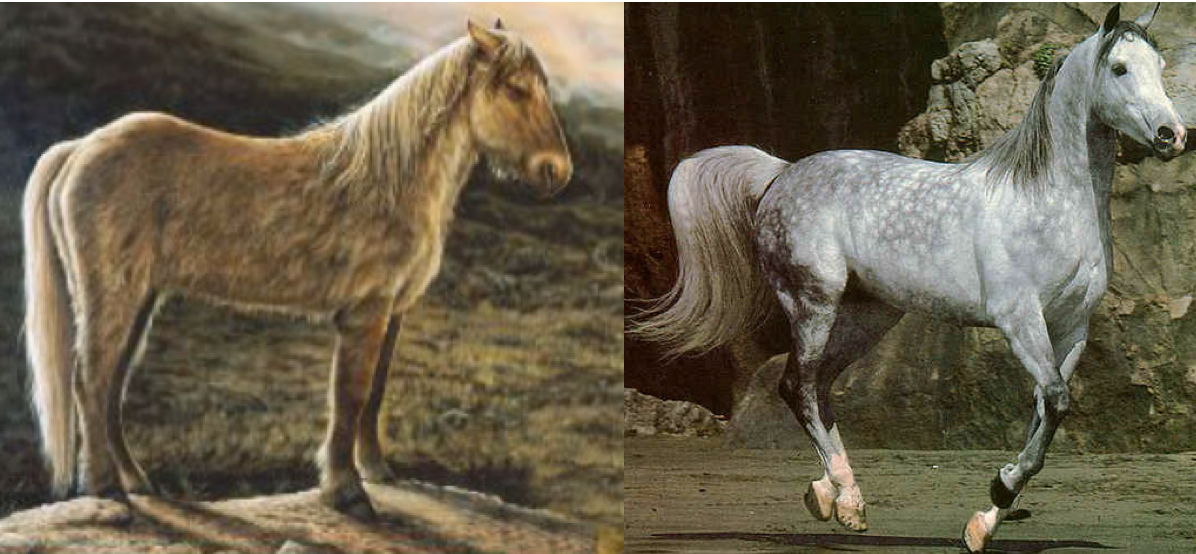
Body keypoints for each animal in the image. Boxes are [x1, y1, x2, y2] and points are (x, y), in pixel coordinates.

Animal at [23, 19, 571, 519]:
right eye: (517, 89)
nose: (557, 171)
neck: (393, 180)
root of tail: (81, 147)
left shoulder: (394, 312)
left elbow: (376, 393)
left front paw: (378, 471)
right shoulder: (365, 314)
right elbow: (349, 397)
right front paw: (347, 491)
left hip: (141, 301)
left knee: (112, 386)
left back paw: (138, 483)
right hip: (112, 295)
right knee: (90, 380)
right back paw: (106, 489)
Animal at [631, 4, 1184, 551]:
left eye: (1159, 66)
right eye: (1120, 69)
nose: (1172, 136)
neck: (1048, 204)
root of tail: (781, 174)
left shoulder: (1071, 329)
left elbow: (1045, 413)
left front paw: (983, 522)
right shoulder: (1020, 319)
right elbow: (1055, 400)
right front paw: (998, 491)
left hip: (869, 316)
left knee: (820, 387)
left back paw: (839, 501)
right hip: (813, 303)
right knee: (797, 386)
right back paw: (840, 495)